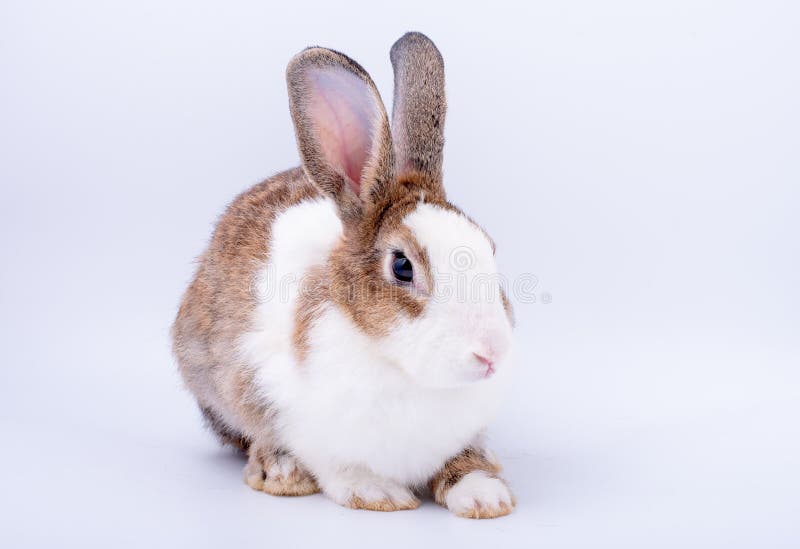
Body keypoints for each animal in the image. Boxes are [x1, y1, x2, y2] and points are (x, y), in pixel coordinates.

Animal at [172, 31, 516, 519]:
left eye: (489, 247)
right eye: (402, 266)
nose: (491, 355)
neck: (405, 370)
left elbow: (463, 461)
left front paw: (485, 495)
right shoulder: (299, 418)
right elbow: (339, 467)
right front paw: (378, 493)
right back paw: (282, 473)